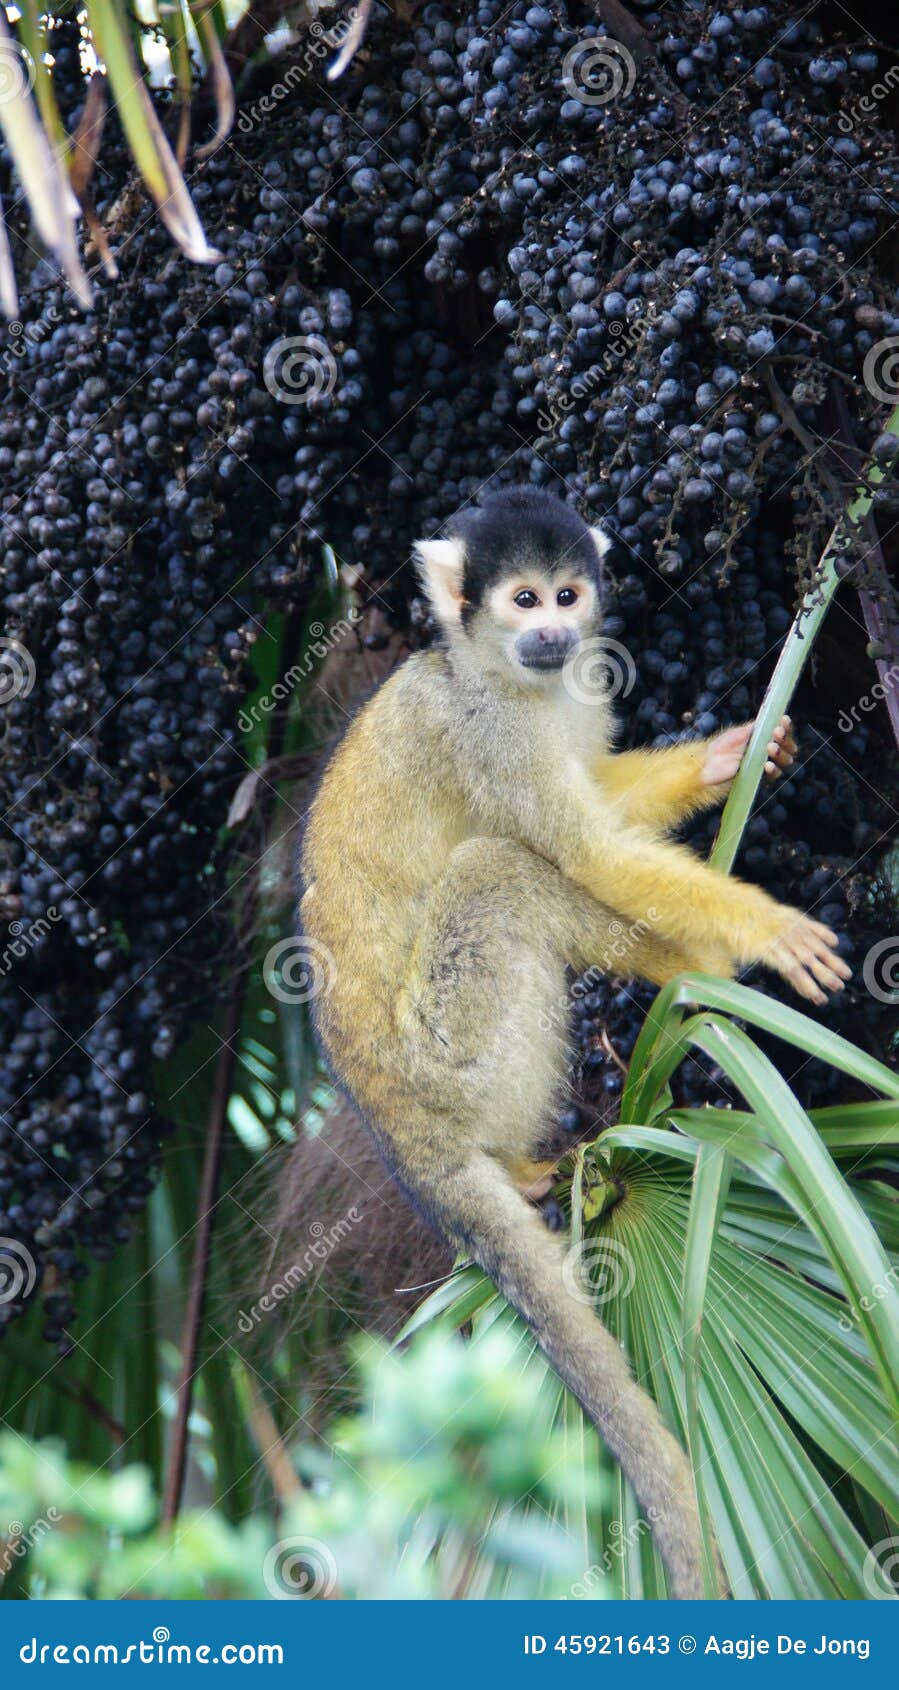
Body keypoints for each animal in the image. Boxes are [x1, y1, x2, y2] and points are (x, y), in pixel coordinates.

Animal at [298, 486, 849, 1600]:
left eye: (566, 595)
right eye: (520, 600)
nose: (553, 632)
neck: (498, 674)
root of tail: (400, 1133)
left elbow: (598, 805)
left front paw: (719, 757)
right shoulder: (485, 735)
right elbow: (584, 848)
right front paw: (761, 930)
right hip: (446, 1060)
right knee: (500, 872)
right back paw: (686, 967)